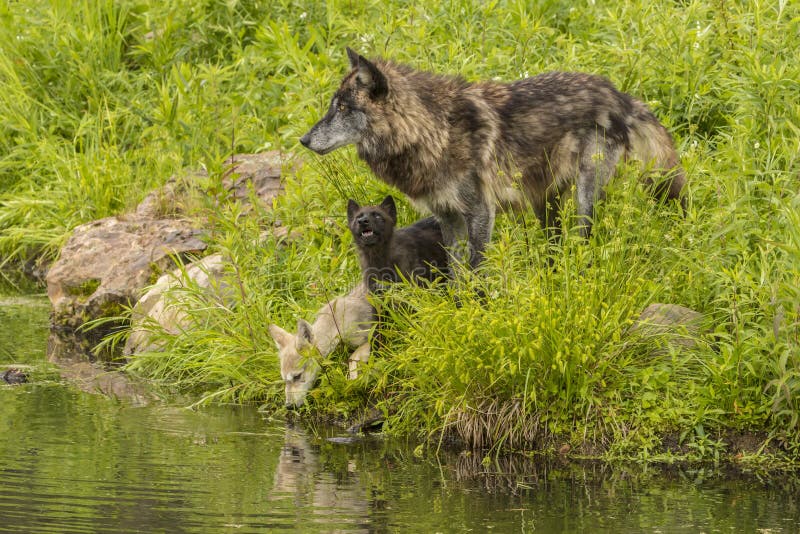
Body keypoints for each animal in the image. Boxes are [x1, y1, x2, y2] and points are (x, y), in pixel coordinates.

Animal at [301, 48, 687, 268]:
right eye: (333, 106)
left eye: (343, 108)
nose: (303, 140)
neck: (432, 131)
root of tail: (619, 93)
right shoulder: (448, 217)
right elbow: (456, 271)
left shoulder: (480, 212)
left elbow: (477, 268)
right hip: (543, 202)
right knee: (555, 244)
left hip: (584, 196)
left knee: (582, 239)